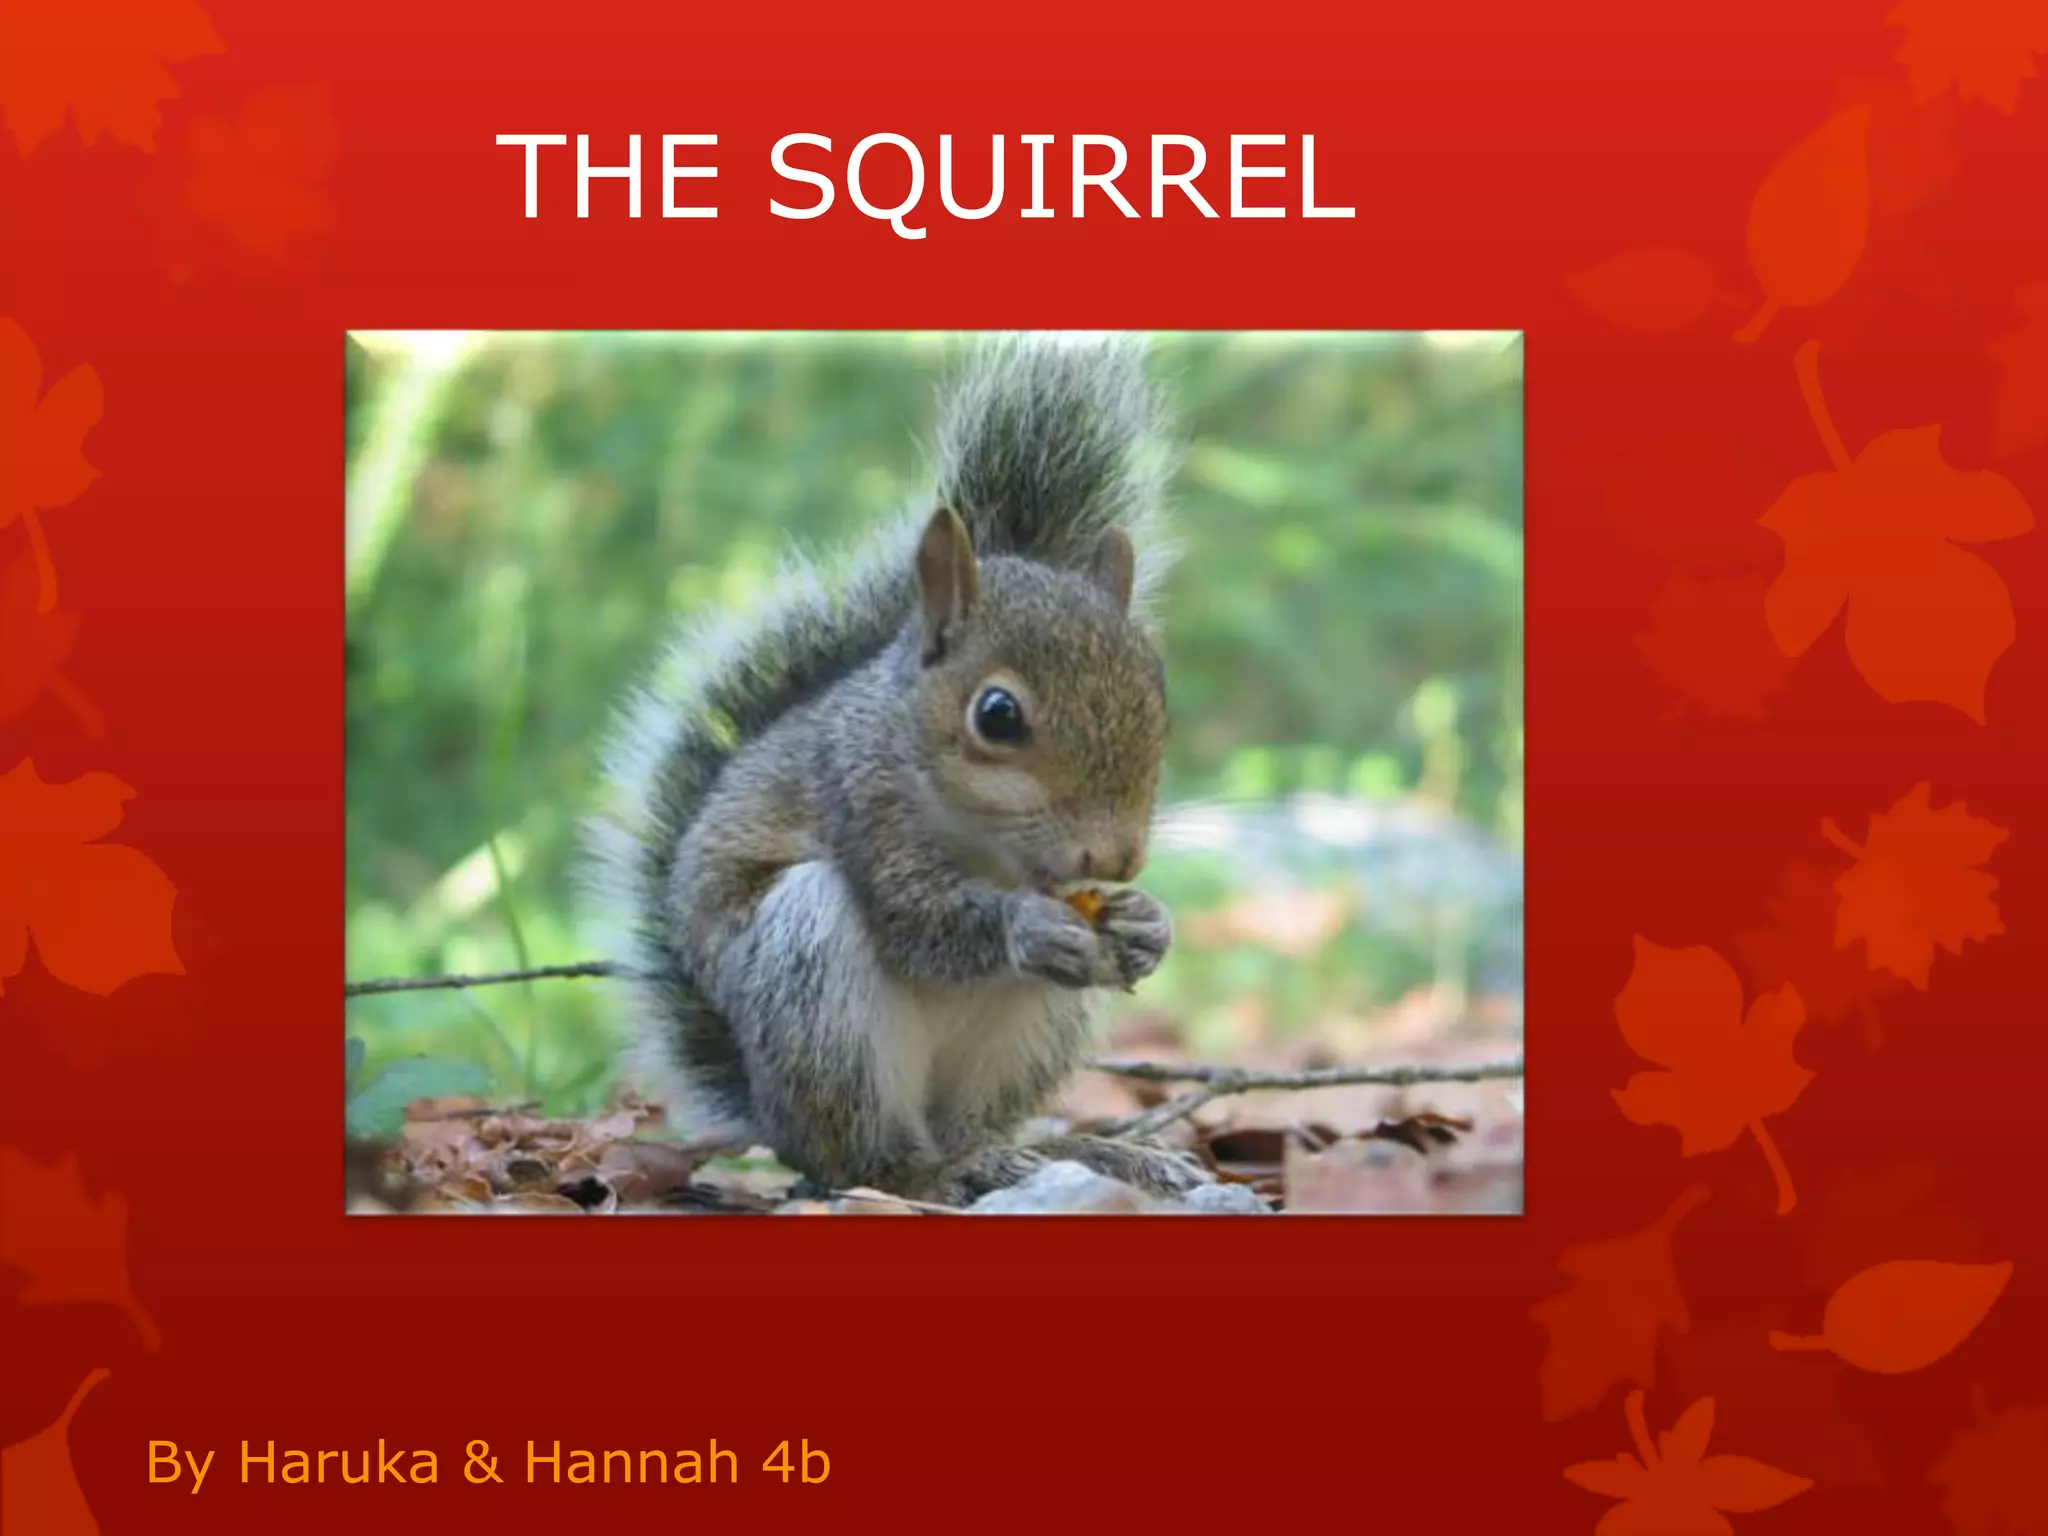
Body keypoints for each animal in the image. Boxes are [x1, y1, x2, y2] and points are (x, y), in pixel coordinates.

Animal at [584, 334, 1210, 1206]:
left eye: (1158, 692)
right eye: (997, 715)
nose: (1117, 859)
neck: (990, 847)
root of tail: (775, 1121)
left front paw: (1148, 922)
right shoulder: (860, 801)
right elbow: (918, 922)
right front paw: (1023, 926)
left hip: (1036, 1032)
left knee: (976, 1124)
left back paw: (1064, 1155)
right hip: (809, 980)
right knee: (873, 1162)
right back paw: (943, 1173)